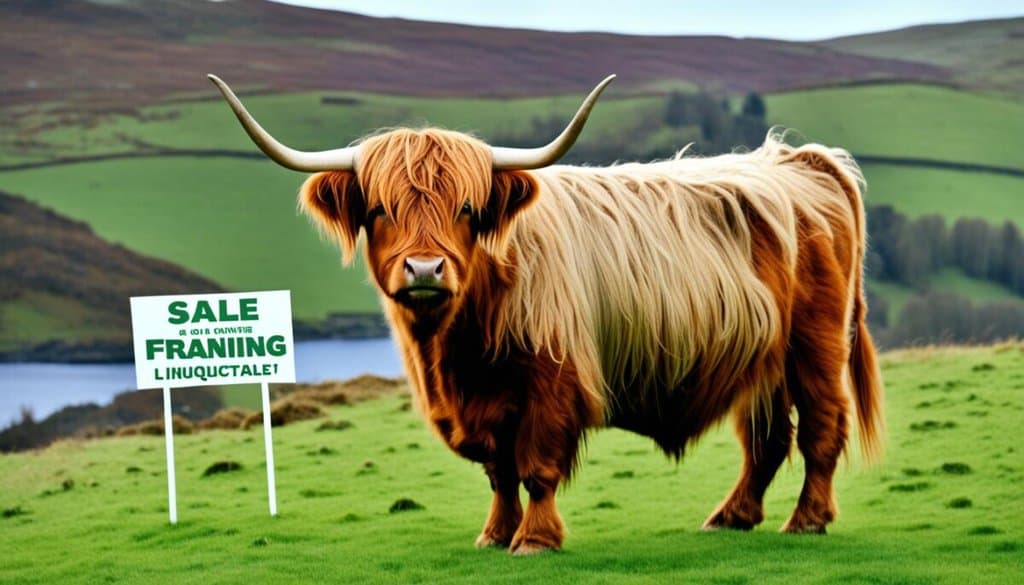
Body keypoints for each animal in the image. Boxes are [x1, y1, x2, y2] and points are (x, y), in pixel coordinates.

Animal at [209, 74, 885, 555]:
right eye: (378, 209)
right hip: (762, 361)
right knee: (766, 441)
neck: (455, 349)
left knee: (822, 428)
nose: (425, 270)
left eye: (467, 208)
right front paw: (493, 535)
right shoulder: (478, 405)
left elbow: (534, 465)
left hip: (816, 345)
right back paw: (731, 517)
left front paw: (533, 540)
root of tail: (797, 160)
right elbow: (498, 471)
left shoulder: (551, 380)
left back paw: (806, 521)